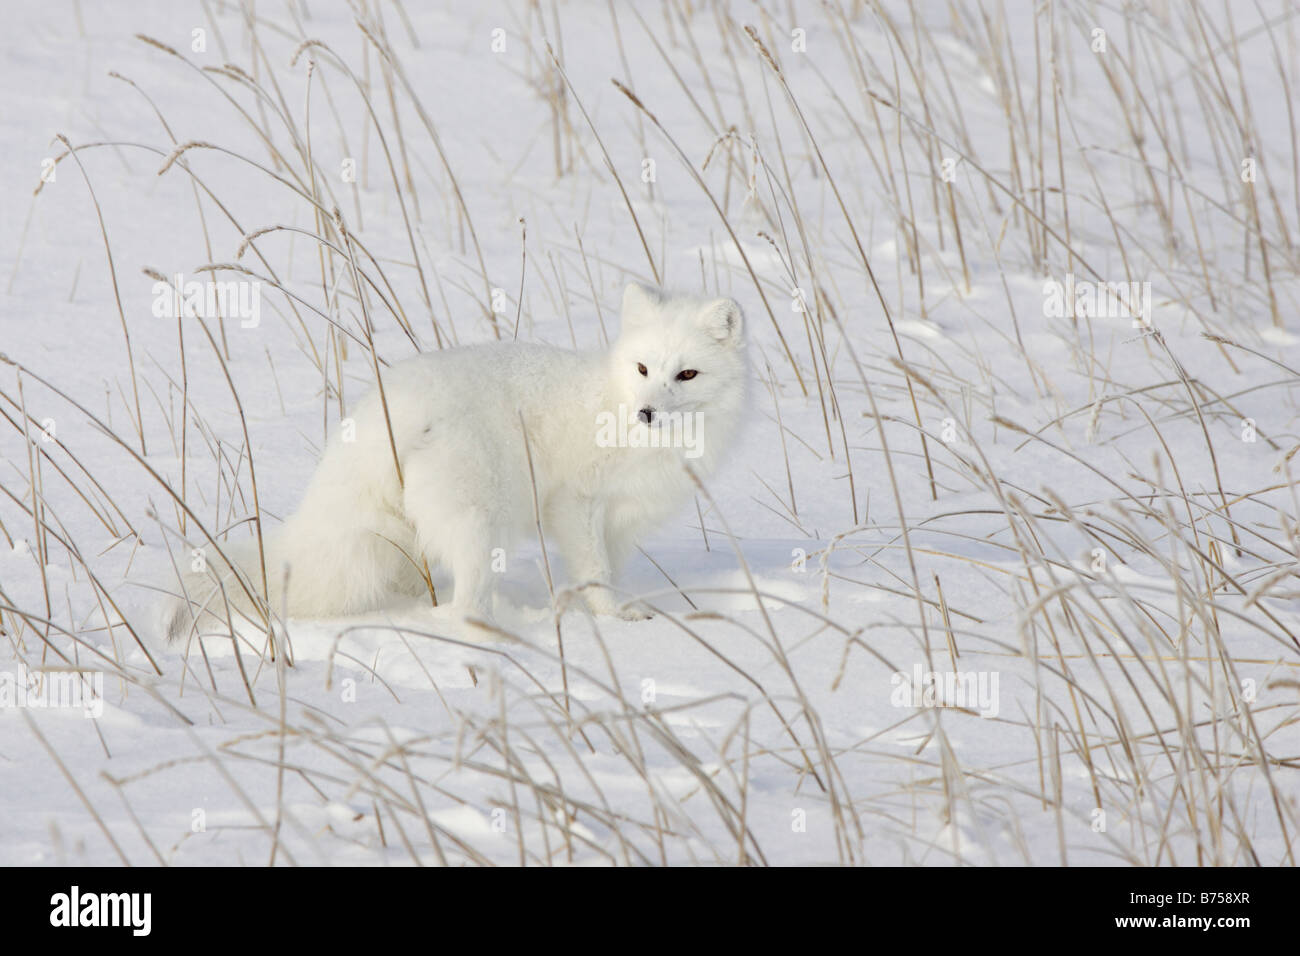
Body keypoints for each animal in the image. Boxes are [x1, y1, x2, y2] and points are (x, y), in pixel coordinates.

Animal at [162, 283, 747, 641]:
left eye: (687, 374)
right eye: (643, 368)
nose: (648, 412)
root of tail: (387, 410)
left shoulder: (621, 520)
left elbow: (608, 571)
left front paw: (622, 615)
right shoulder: (576, 504)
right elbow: (596, 571)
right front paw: (609, 620)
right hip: (477, 520)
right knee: (466, 604)